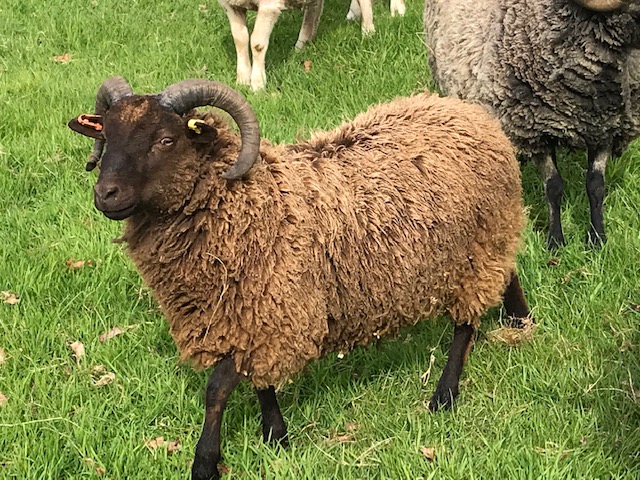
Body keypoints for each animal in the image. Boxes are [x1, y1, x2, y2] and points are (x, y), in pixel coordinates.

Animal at [67, 76, 532, 480]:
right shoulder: (249, 314)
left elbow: (217, 388)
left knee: (466, 323)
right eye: (106, 135)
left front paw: (206, 462)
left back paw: (445, 394)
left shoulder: (276, 312)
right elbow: (258, 383)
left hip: (478, 247)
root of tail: (468, 112)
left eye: (166, 140)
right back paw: (519, 317)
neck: (248, 203)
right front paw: (275, 436)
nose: (105, 194)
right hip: (487, 240)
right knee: (507, 271)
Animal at [424, 0, 640, 250]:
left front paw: (597, 239)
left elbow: (596, 185)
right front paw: (555, 241)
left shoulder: (605, 128)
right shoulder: (535, 131)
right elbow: (553, 187)